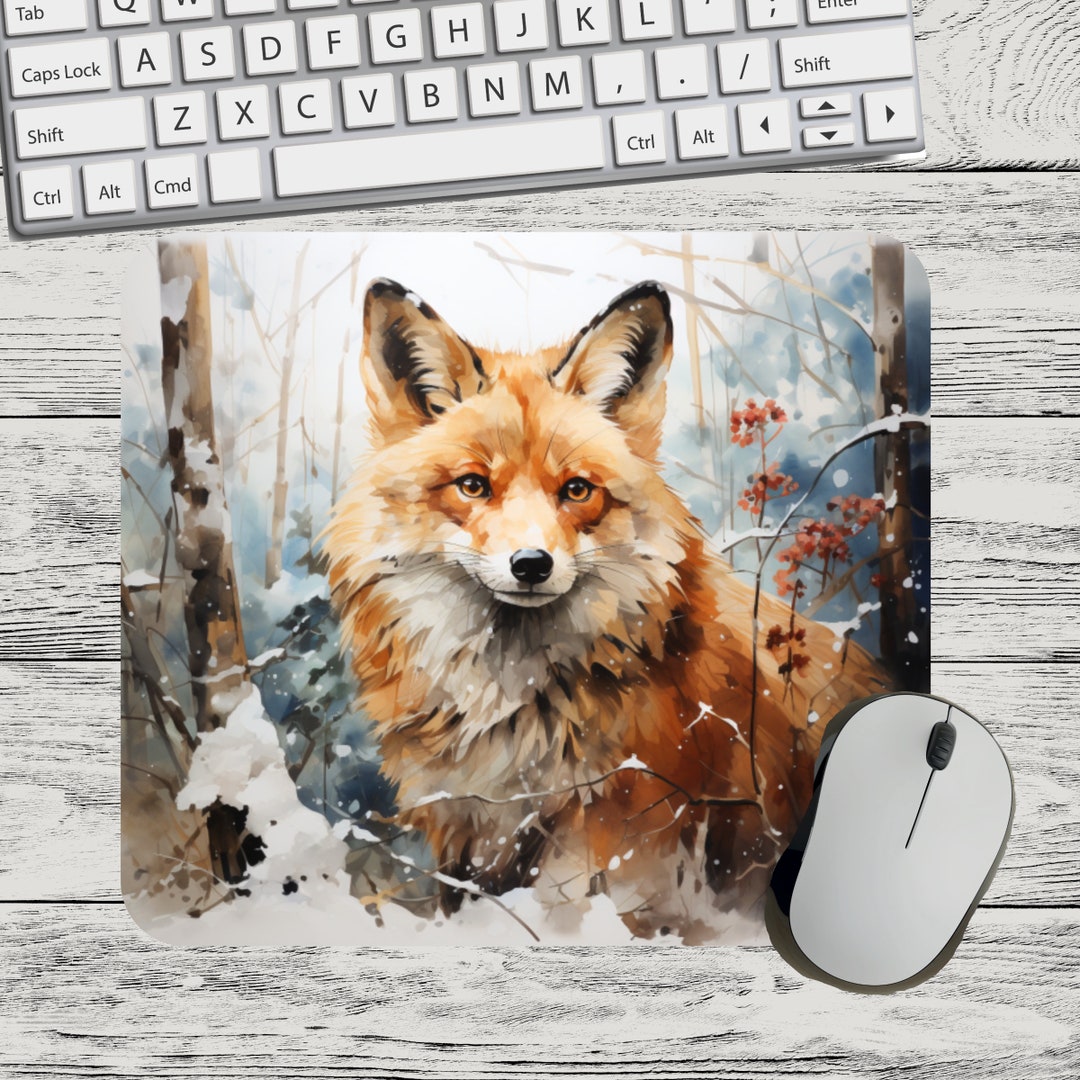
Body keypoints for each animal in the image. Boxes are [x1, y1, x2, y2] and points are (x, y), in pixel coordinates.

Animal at [325, 278, 887, 940]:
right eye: (472, 485)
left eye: (576, 490)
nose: (531, 564)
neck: (518, 710)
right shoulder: (466, 832)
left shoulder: (616, 839)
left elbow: (571, 922)